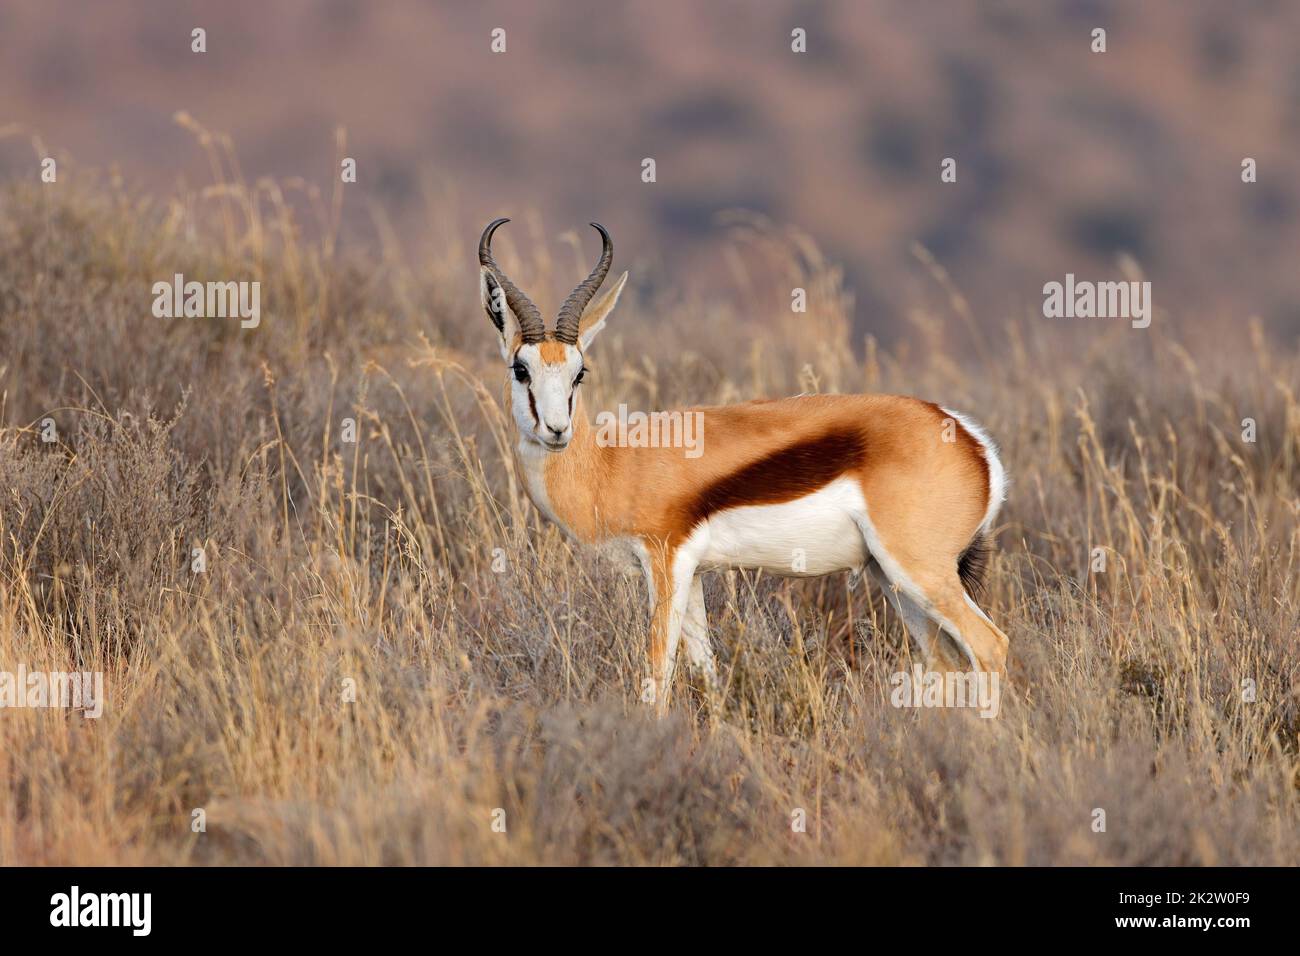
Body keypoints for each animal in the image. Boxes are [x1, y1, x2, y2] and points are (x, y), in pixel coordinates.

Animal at [479, 218, 1009, 713]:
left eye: (579, 372)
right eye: (520, 369)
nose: (556, 430)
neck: (612, 463)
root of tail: (968, 437)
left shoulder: (665, 562)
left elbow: (658, 671)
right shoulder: (693, 574)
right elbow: (706, 669)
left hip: (919, 570)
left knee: (990, 646)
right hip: (891, 577)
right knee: (945, 660)